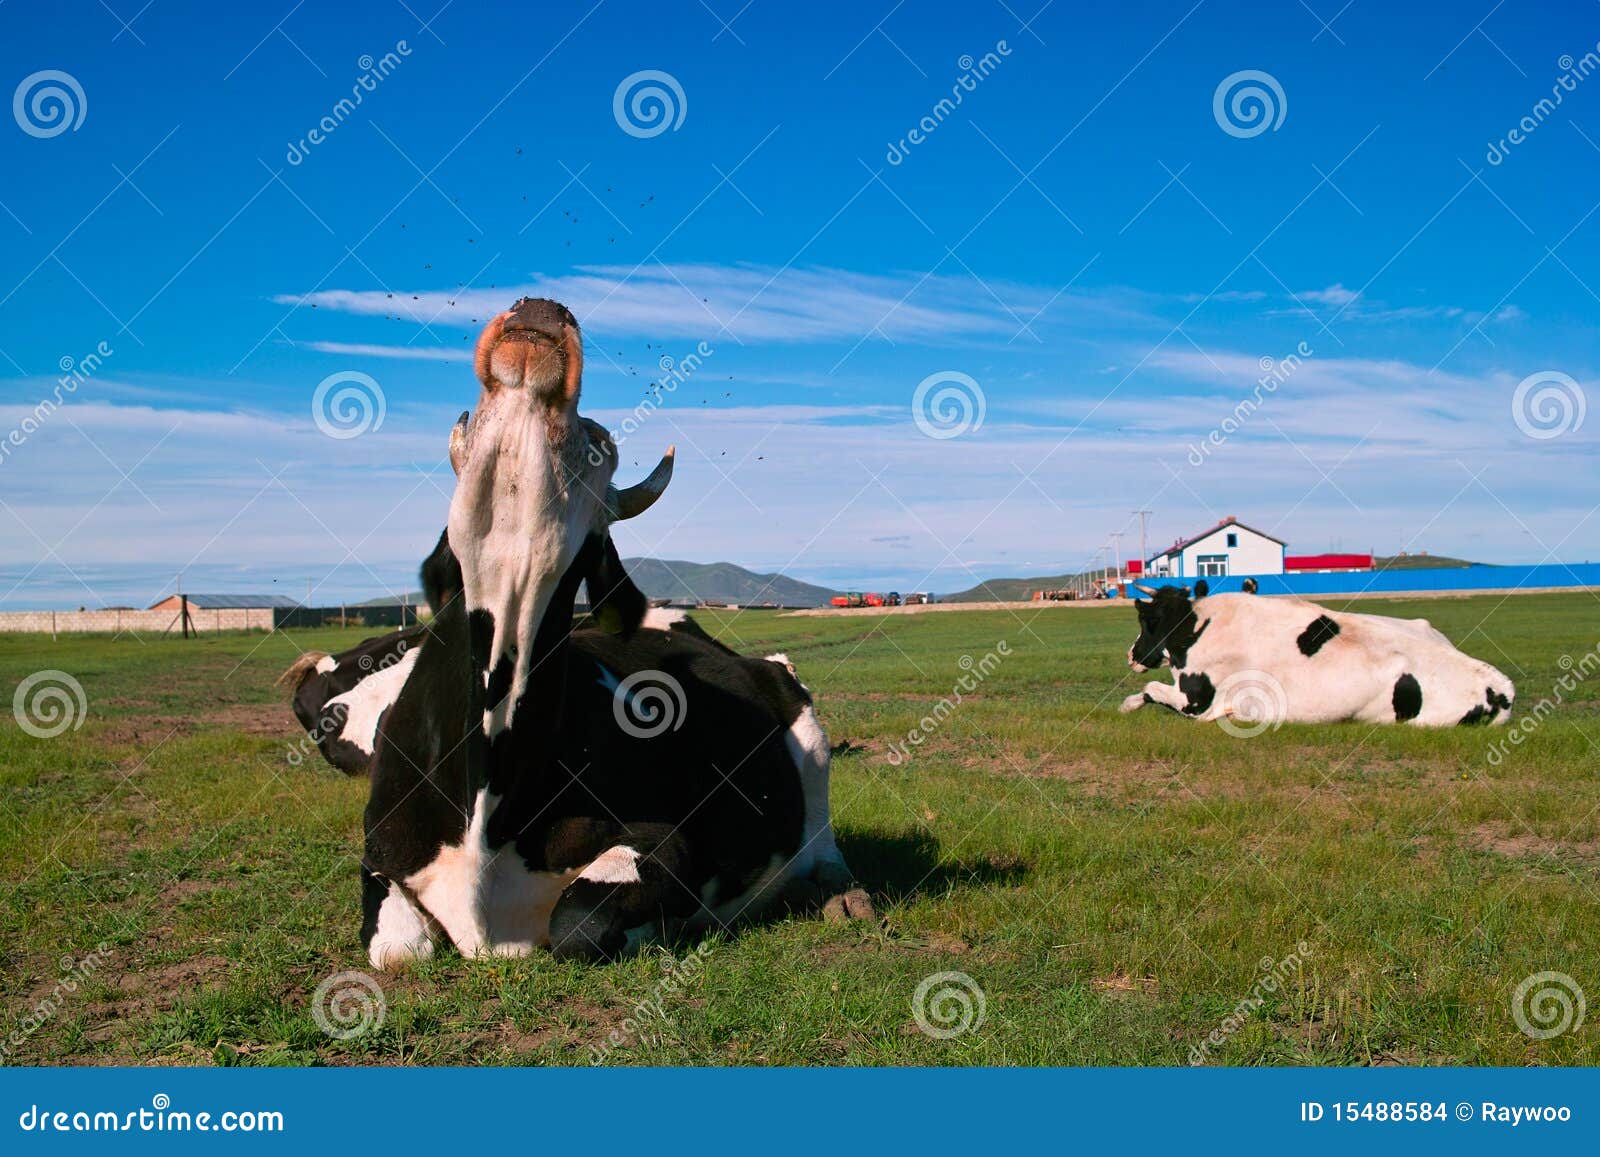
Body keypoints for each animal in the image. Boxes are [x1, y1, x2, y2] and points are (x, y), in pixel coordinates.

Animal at [360, 298, 865, 969]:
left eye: (601, 445)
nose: (542, 310)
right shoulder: (379, 848)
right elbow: (398, 949)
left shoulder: (670, 843)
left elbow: (578, 921)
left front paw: (673, 926)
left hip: (813, 750)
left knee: (826, 848)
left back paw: (840, 896)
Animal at [1119, 583, 1515, 727]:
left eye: (1146, 621)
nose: (1131, 654)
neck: (1198, 628)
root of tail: (1500, 687)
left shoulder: (1197, 701)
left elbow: (1152, 689)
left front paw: (1129, 703)